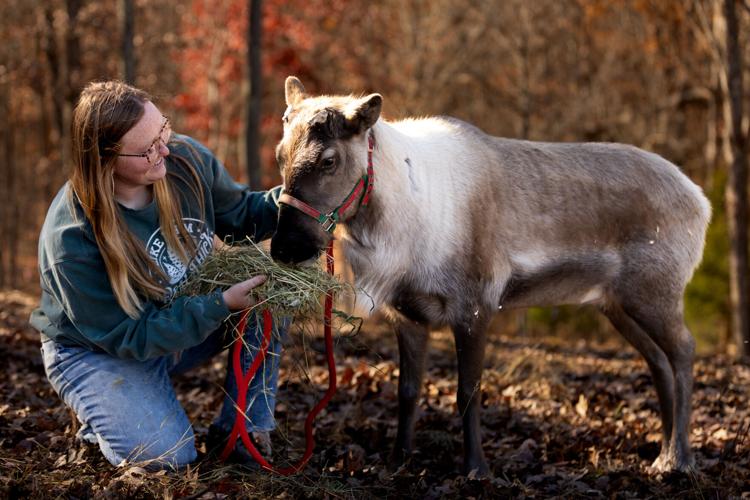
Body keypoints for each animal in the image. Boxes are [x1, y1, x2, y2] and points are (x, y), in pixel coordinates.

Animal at [270, 76, 711, 475]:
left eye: (329, 160)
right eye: (280, 154)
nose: (285, 247)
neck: (404, 224)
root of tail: (701, 200)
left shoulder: (475, 306)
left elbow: (468, 392)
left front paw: (476, 468)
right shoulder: (407, 314)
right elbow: (407, 390)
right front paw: (398, 460)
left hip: (656, 293)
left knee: (684, 350)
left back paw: (680, 459)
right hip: (616, 304)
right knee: (657, 360)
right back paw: (662, 455)